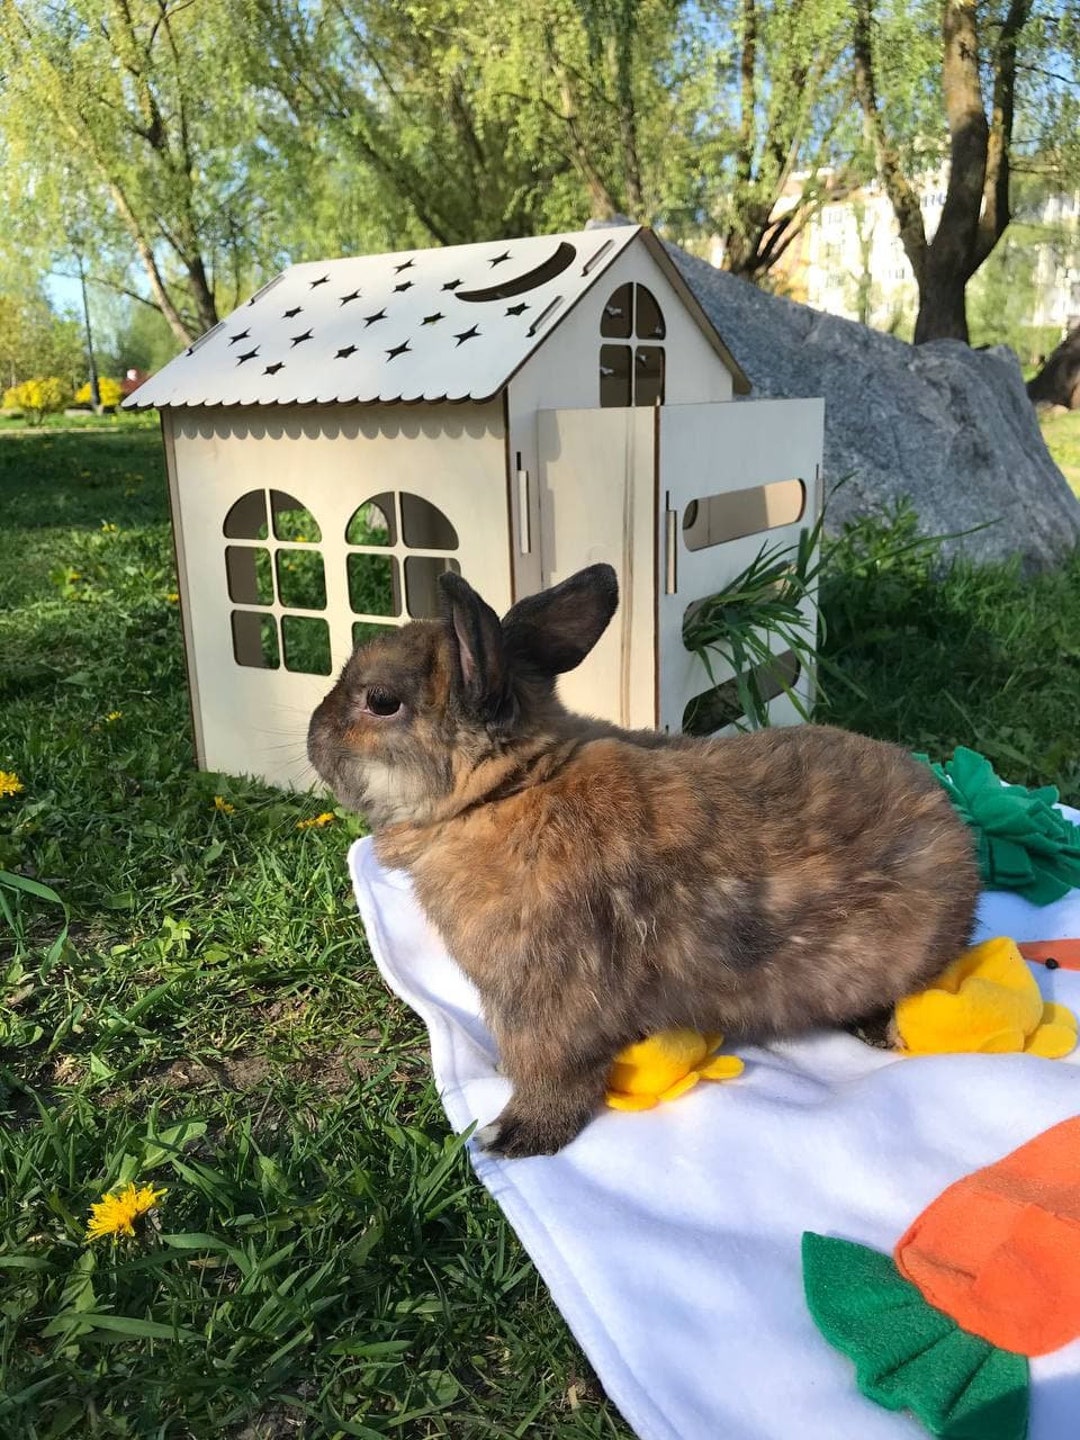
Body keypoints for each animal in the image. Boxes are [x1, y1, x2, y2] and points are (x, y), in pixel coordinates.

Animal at [308, 563, 979, 1159]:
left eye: (381, 701)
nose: (315, 734)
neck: (504, 791)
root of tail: (959, 845)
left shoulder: (546, 1001)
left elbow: (555, 1073)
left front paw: (516, 1137)